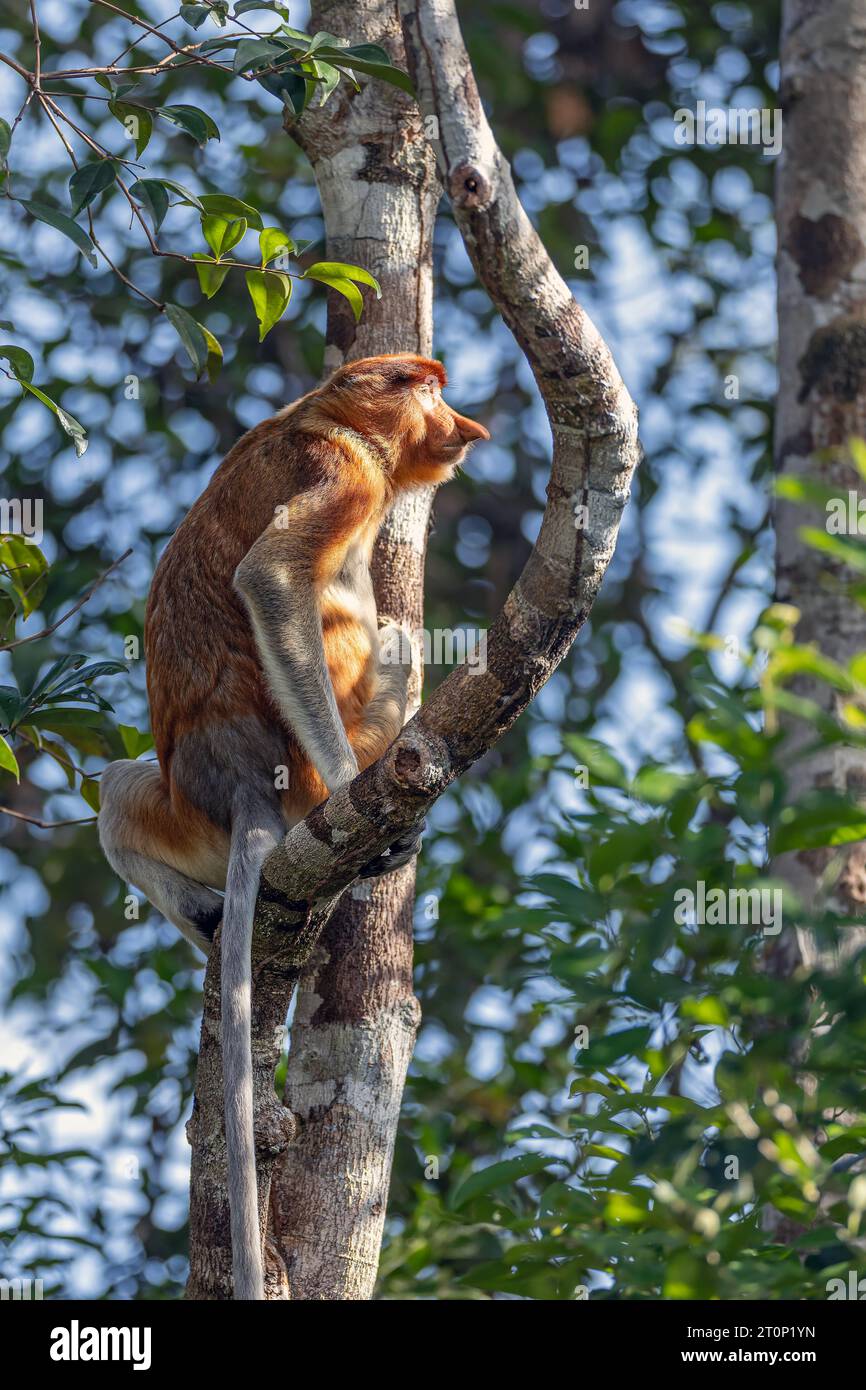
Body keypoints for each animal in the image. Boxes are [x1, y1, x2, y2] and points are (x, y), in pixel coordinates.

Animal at [97, 354, 489, 1300]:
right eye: (429, 386)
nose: (464, 426)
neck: (322, 412)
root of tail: (242, 778)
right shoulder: (345, 474)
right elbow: (273, 581)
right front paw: (359, 792)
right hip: (339, 737)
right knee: (396, 639)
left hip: (181, 808)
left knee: (115, 795)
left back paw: (208, 919)